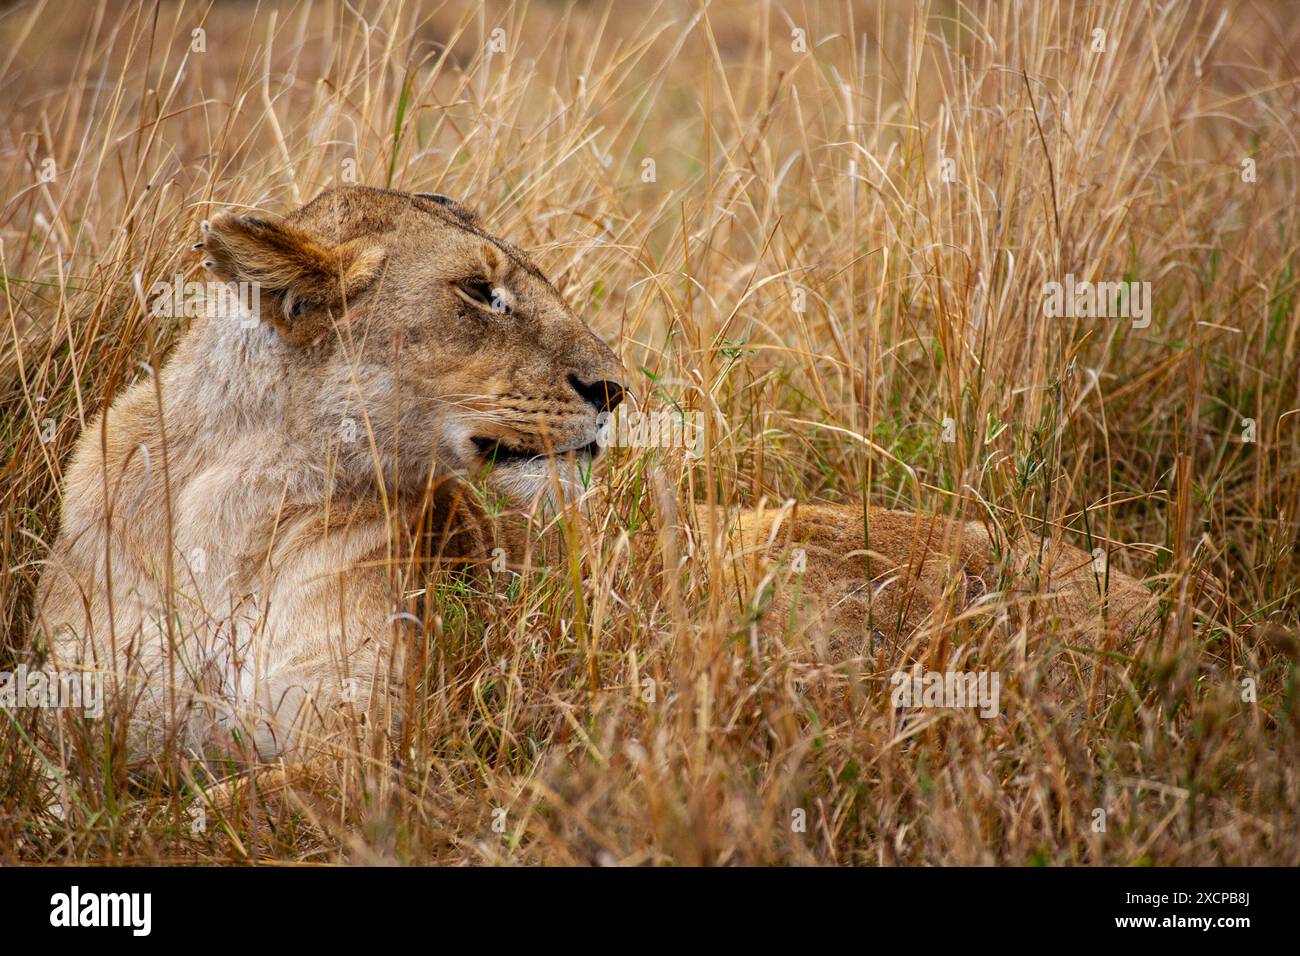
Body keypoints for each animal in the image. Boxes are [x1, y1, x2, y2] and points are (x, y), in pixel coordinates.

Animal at [33, 186, 1154, 766]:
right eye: (479, 292)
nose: (615, 388)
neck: (232, 502)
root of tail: (1146, 598)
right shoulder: (77, 722)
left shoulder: (370, 750)